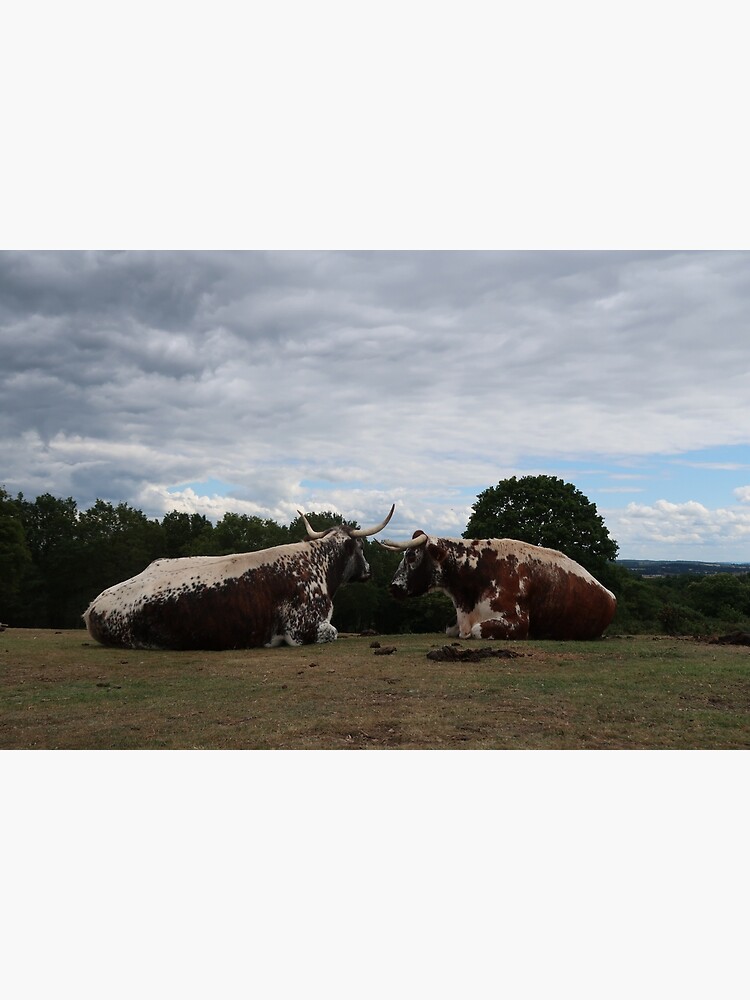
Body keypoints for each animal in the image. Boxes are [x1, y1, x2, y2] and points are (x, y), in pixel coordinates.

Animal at [83, 505, 395, 650]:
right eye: (362, 547)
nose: (369, 570)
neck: (317, 564)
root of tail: (94, 605)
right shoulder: (303, 629)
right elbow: (333, 632)